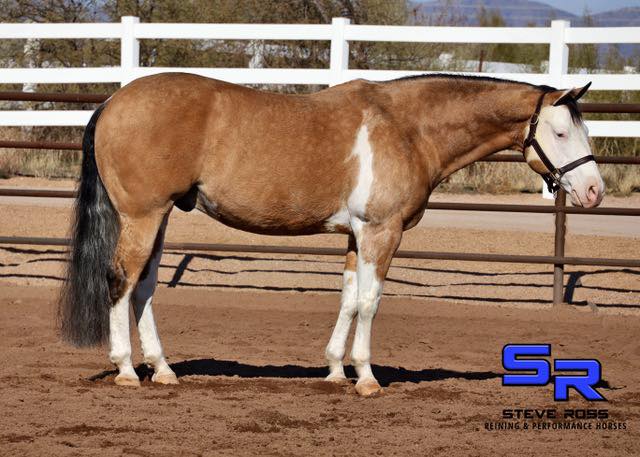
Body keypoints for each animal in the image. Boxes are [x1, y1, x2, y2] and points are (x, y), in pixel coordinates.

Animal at [58, 73, 604, 397]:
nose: (594, 191)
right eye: (560, 133)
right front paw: (366, 378)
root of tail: (113, 100)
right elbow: (370, 302)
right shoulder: (382, 232)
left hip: (161, 216)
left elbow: (347, 299)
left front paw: (336, 369)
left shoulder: (356, 236)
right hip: (143, 215)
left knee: (144, 287)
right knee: (120, 281)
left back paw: (163, 368)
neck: (408, 128)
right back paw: (127, 370)